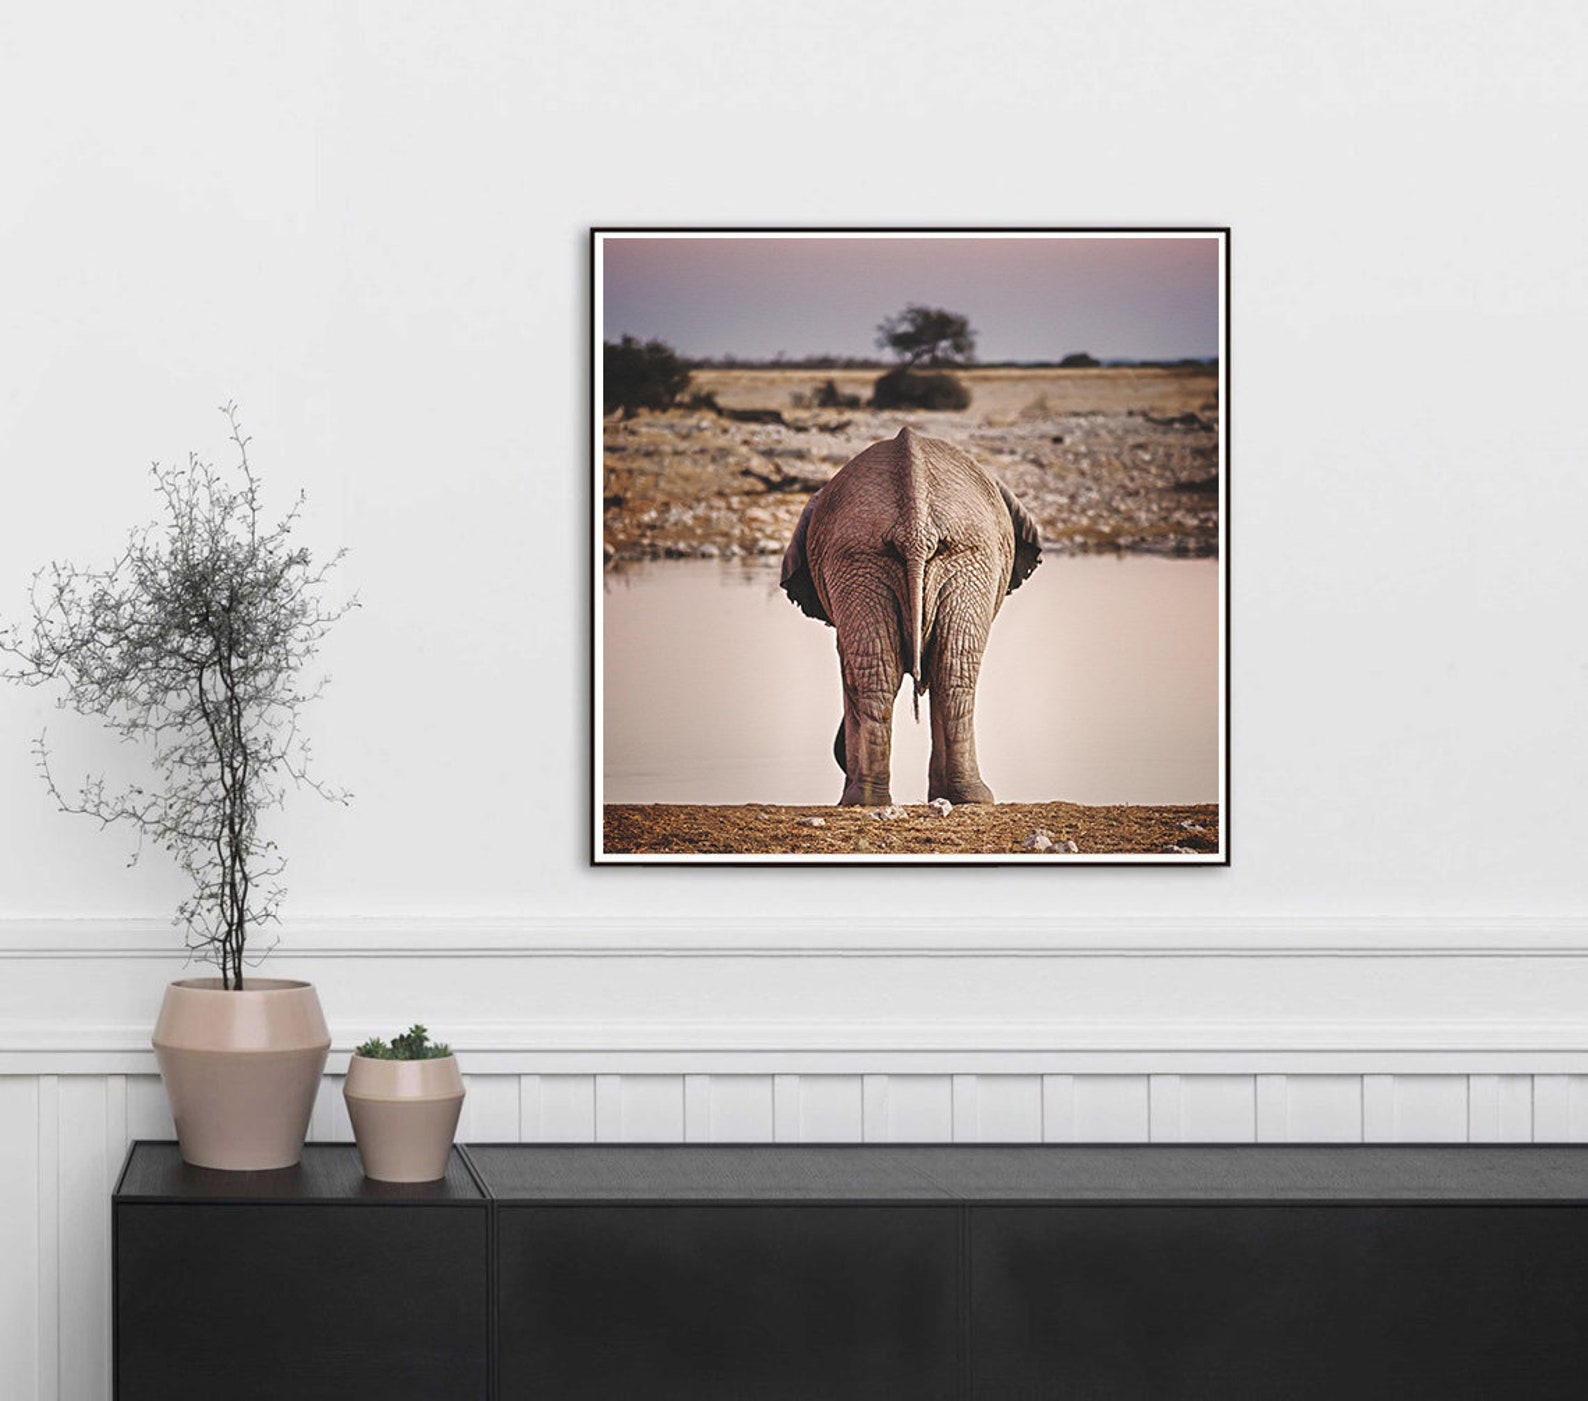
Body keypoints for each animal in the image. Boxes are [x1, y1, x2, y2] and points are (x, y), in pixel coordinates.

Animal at [780, 425, 1042, 806]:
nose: (837, 752)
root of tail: (914, 525)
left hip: (954, 556)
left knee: (938, 670)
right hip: (872, 559)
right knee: (924, 671)